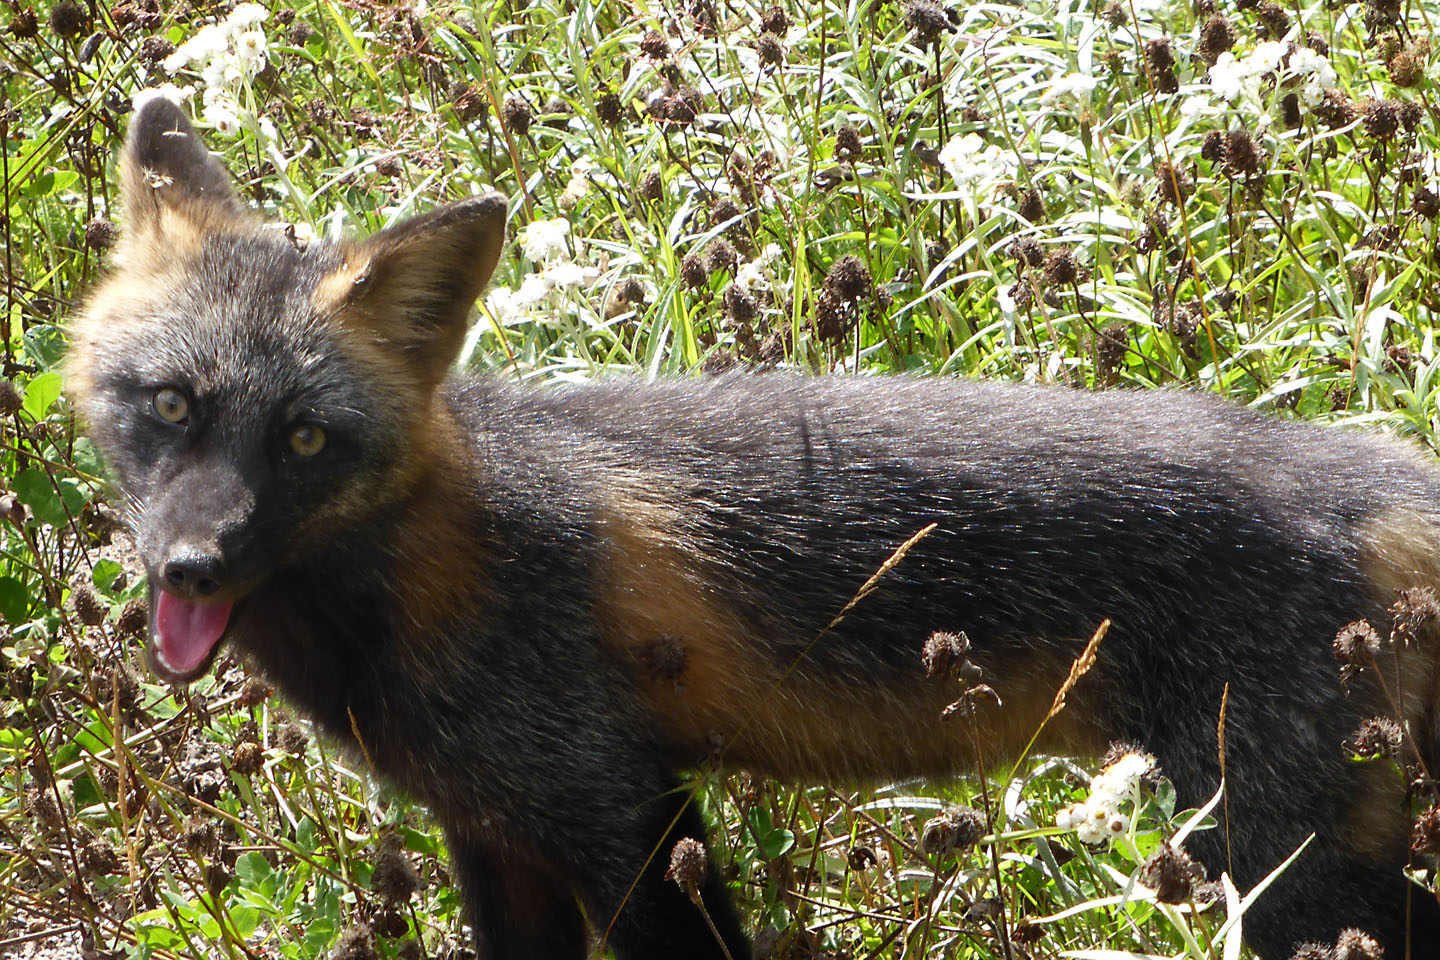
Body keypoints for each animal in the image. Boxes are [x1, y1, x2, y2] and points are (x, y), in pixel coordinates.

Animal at [65, 93, 1440, 959]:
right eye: (171, 406)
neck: (435, 584)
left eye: (305, 439)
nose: (191, 565)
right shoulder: (496, 838)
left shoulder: (626, 816)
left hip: (1290, 877)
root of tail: (1386, 474)